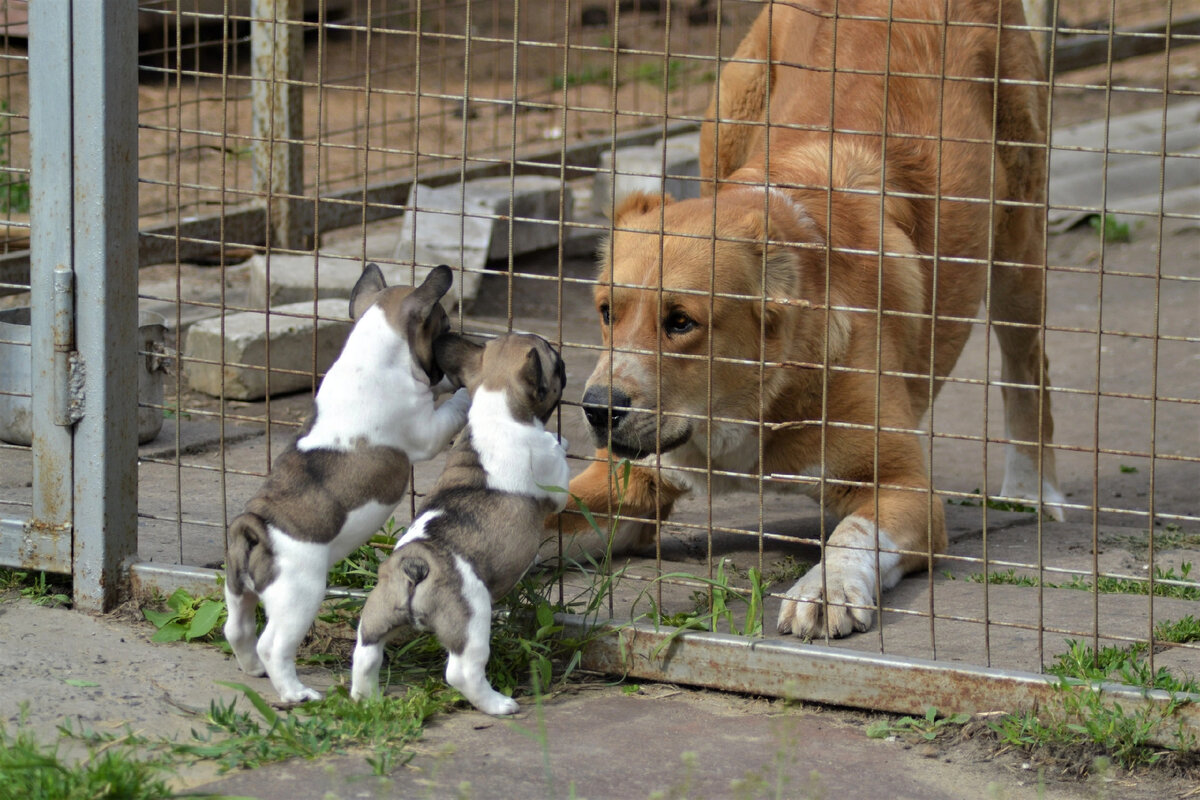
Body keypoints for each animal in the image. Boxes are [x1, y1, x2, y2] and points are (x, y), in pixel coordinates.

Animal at [223, 262, 470, 700]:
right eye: (441, 326)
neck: (371, 352)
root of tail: (254, 530)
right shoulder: (426, 430)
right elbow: (448, 412)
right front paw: (463, 394)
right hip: (299, 598)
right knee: (273, 645)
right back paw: (295, 694)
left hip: (238, 590)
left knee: (237, 628)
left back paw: (252, 669)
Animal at [350, 328, 568, 714]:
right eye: (555, 362)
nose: (563, 360)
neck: (497, 406)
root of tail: (417, 563)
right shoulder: (551, 475)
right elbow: (561, 478)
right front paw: (563, 439)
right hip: (471, 617)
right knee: (462, 672)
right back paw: (499, 704)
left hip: (378, 611)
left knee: (366, 653)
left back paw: (368, 700)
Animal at [549, 0, 1065, 638]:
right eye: (606, 313)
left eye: (681, 322)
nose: (597, 409)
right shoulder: (626, 481)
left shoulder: (903, 488)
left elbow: (853, 533)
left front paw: (826, 589)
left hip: (1017, 245)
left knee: (1027, 364)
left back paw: (1031, 489)